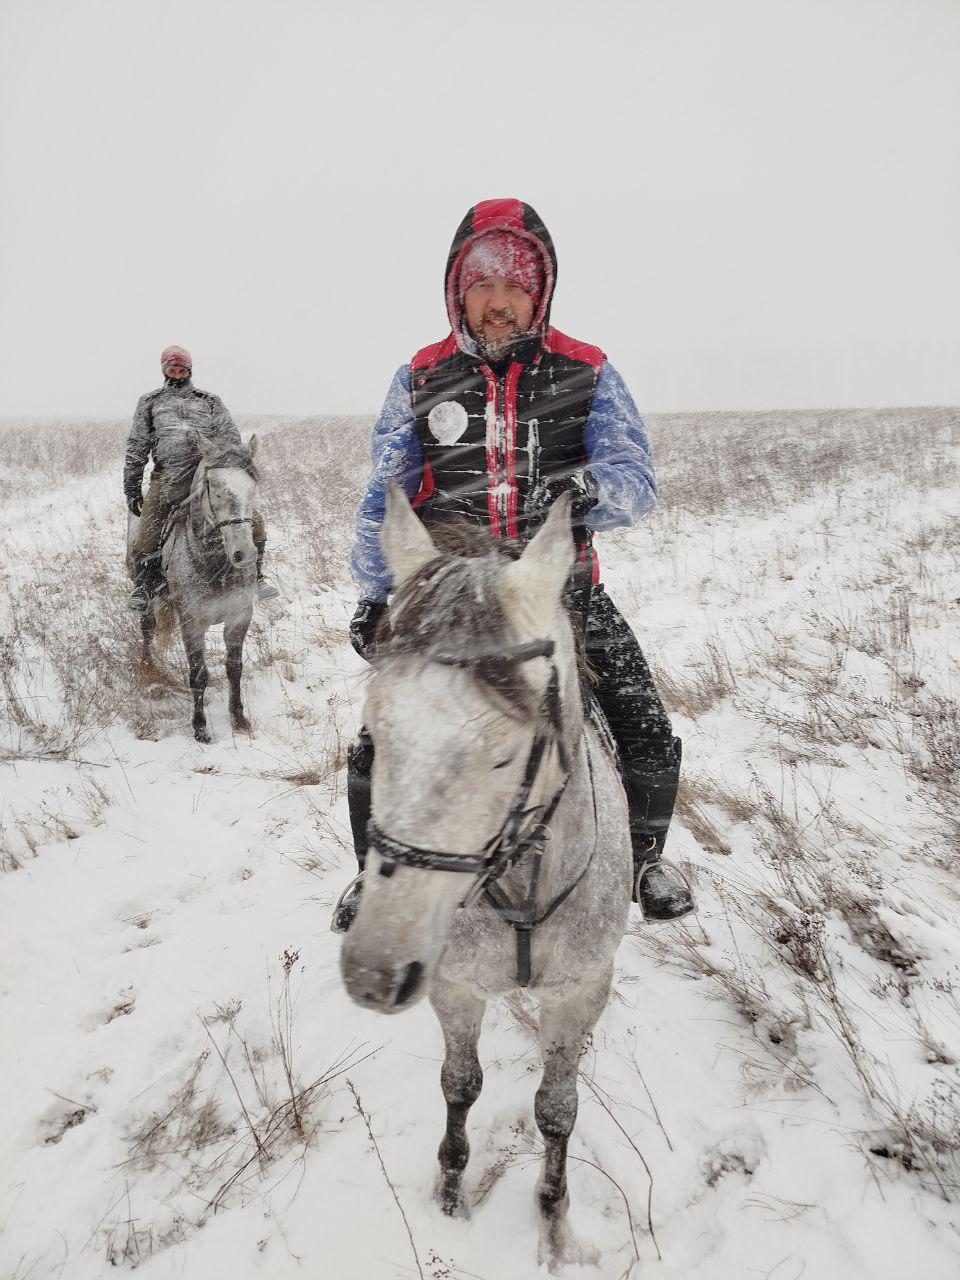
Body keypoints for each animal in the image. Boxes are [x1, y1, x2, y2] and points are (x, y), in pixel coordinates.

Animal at [142, 435, 261, 747]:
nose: (244, 554)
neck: (214, 563)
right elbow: (198, 675)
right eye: (214, 488)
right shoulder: (191, 623)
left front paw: (239, 718)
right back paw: (148, 669)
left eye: (253, 486)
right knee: (147, 630)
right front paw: (200, 729)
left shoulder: (239, 617)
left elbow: (234, 668)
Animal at [343, 486, 634, 1269]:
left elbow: (557, 1109)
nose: (374, 974)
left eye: (506, 750)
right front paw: (450, 1193)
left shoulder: (580, 992)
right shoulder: (453, 983)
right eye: (374, 733)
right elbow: (460, 1082)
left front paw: (554, 1222)